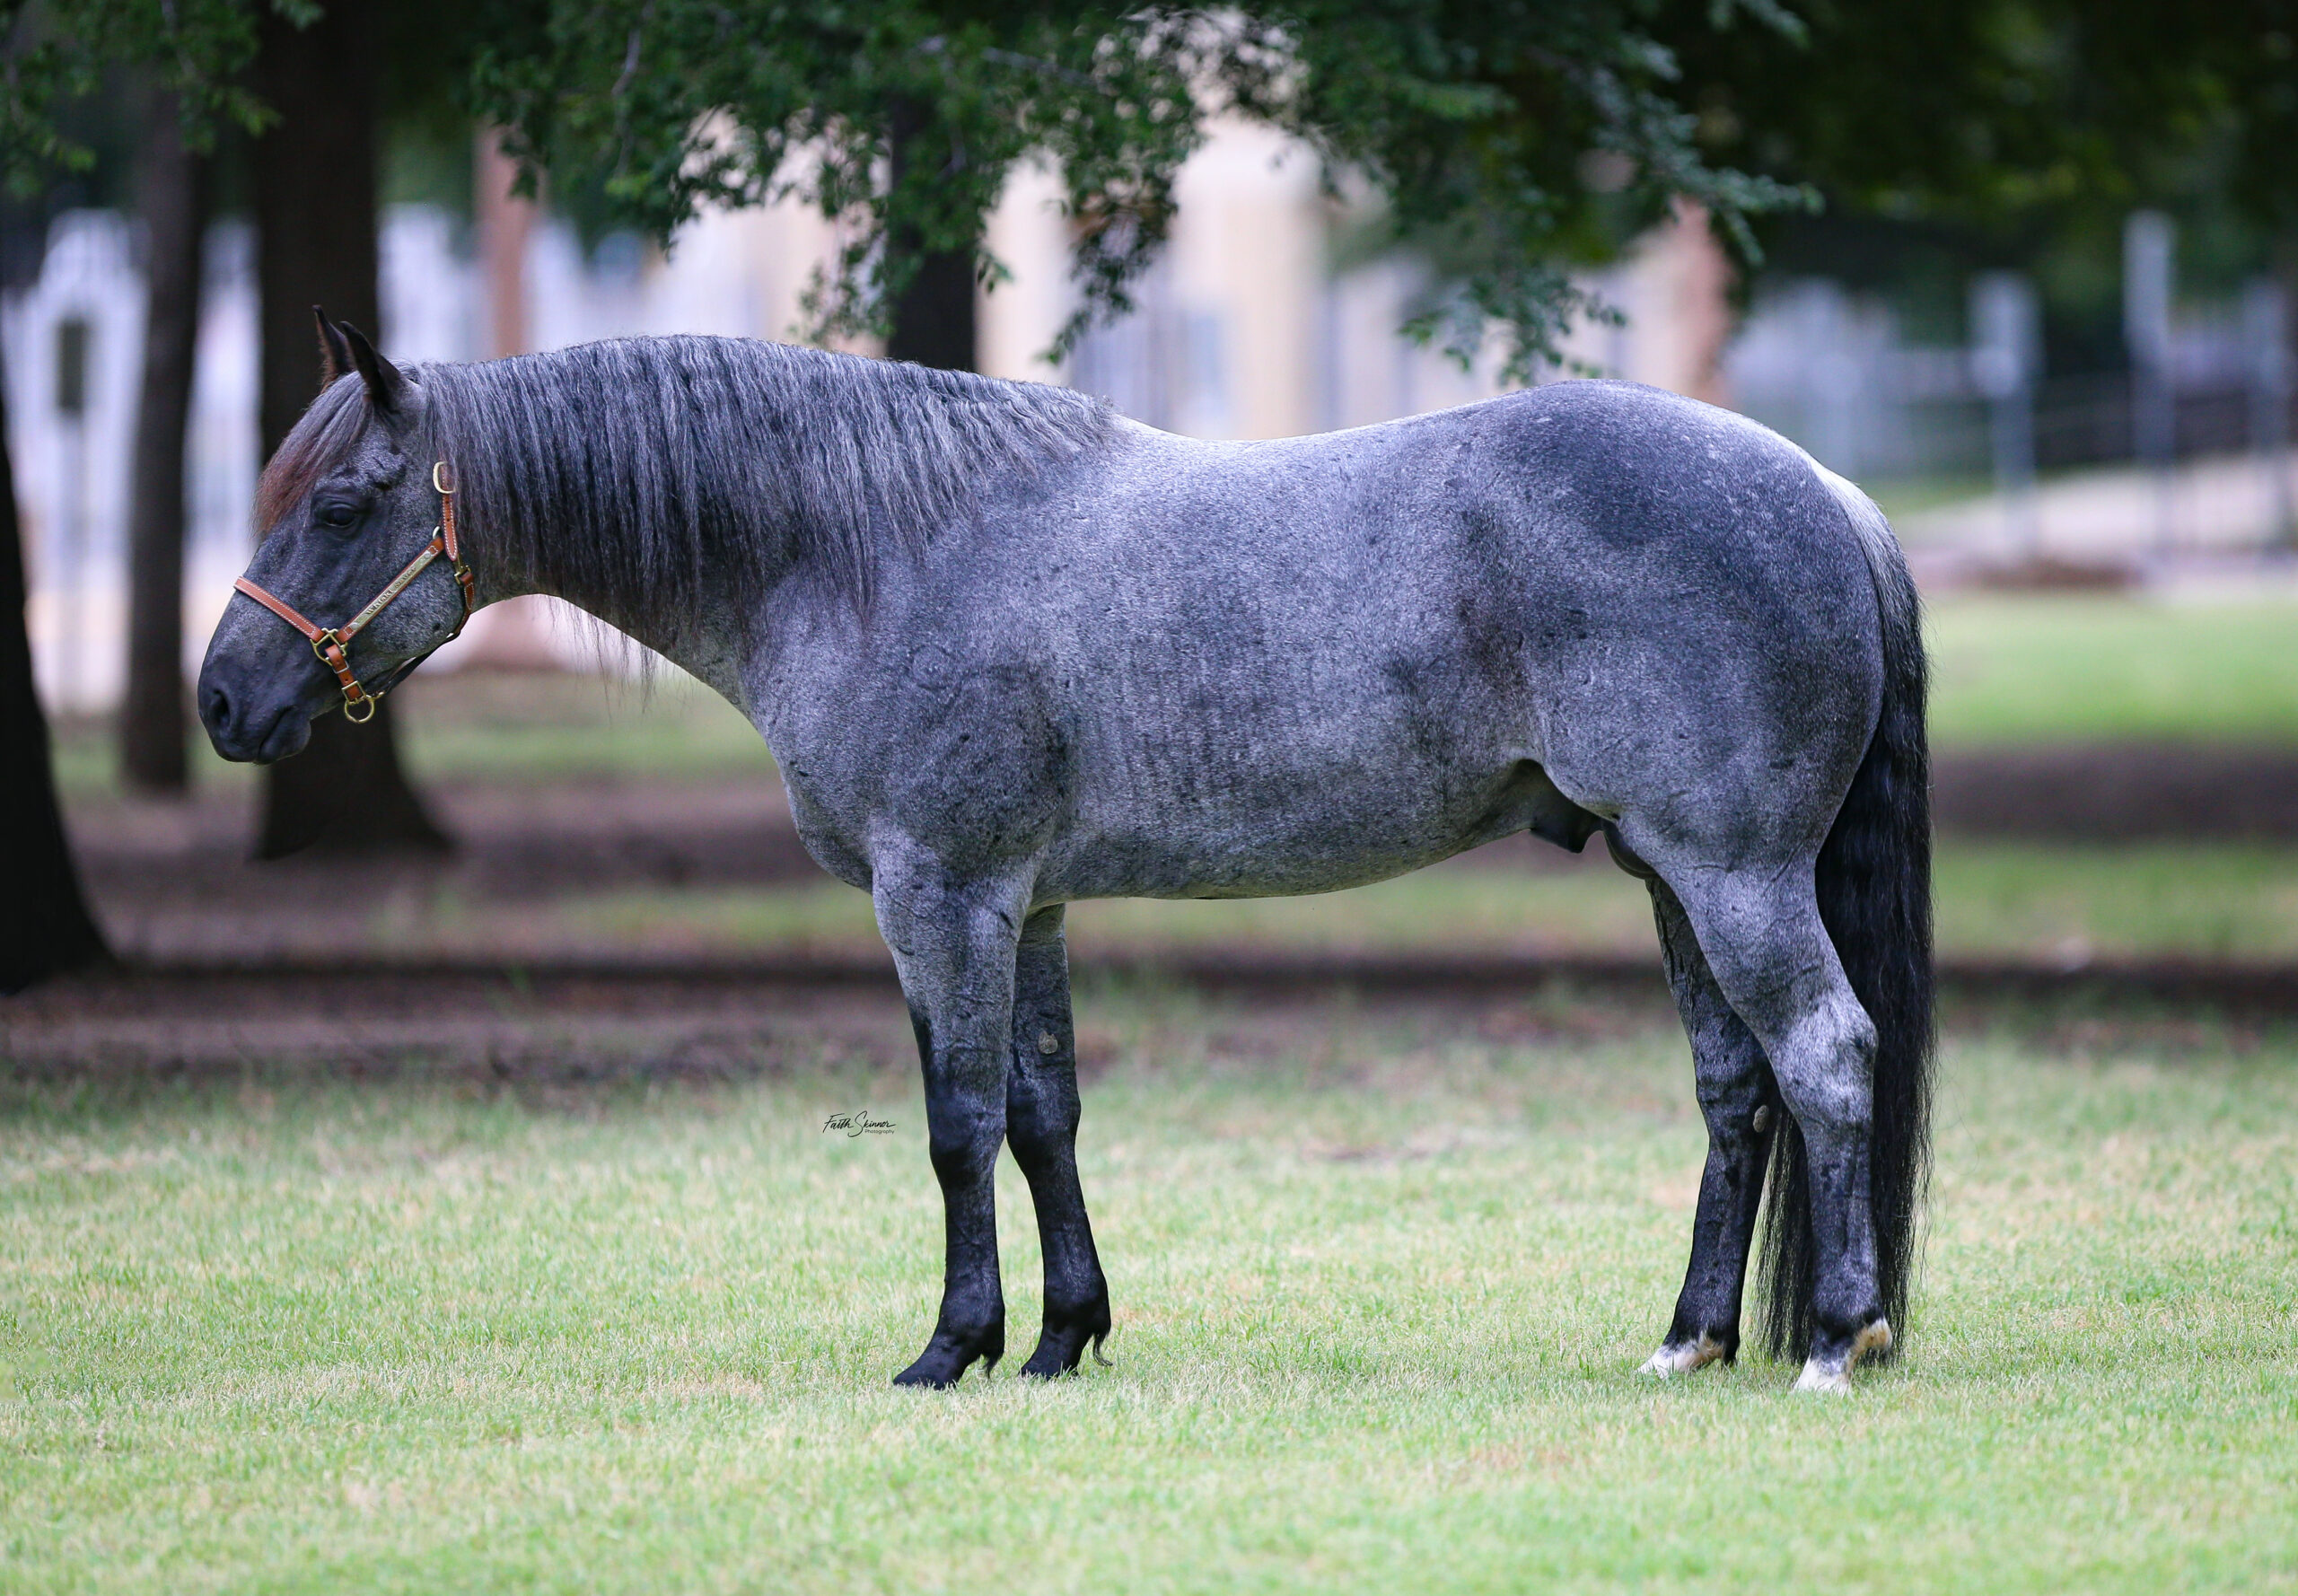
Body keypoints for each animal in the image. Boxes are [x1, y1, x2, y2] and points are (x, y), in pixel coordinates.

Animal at [200, 314, 1931, 1394]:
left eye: (344, 501)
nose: (223, 697)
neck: (865, 547)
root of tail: (1829, 491)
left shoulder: (942, 896)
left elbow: (957, 1121)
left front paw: (950, 1347)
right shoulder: (1025, 907)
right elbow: (1045, 1115)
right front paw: (1061, 1339)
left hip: (1731, 872)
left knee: (1828, 1056)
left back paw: (1839, 1339)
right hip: (1670, 877)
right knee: (1736, 1087)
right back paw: (1690, 1339)